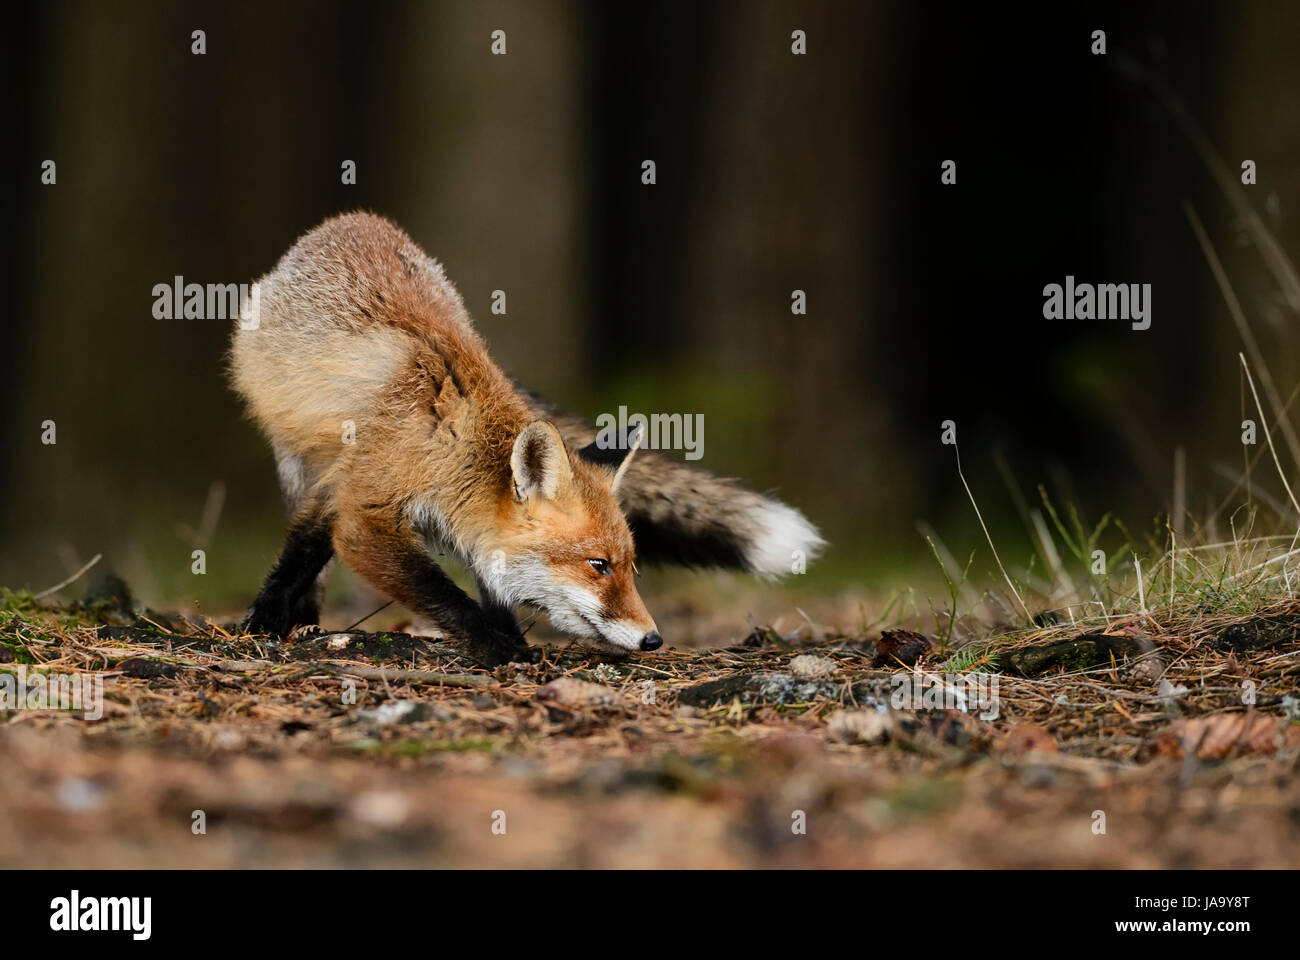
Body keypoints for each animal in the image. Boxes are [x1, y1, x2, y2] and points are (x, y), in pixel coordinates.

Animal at [228, 212, 824, 665]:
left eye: (632, 566)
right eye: (598, 565)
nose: (654, 639)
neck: (449, 450)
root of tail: (353, 220)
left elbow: (490, 584)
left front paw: (506, 631)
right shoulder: (364, 511)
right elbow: (435, 591)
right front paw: (498, 644)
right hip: (302, 459)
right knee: (308, 537)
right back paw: (289, 617)